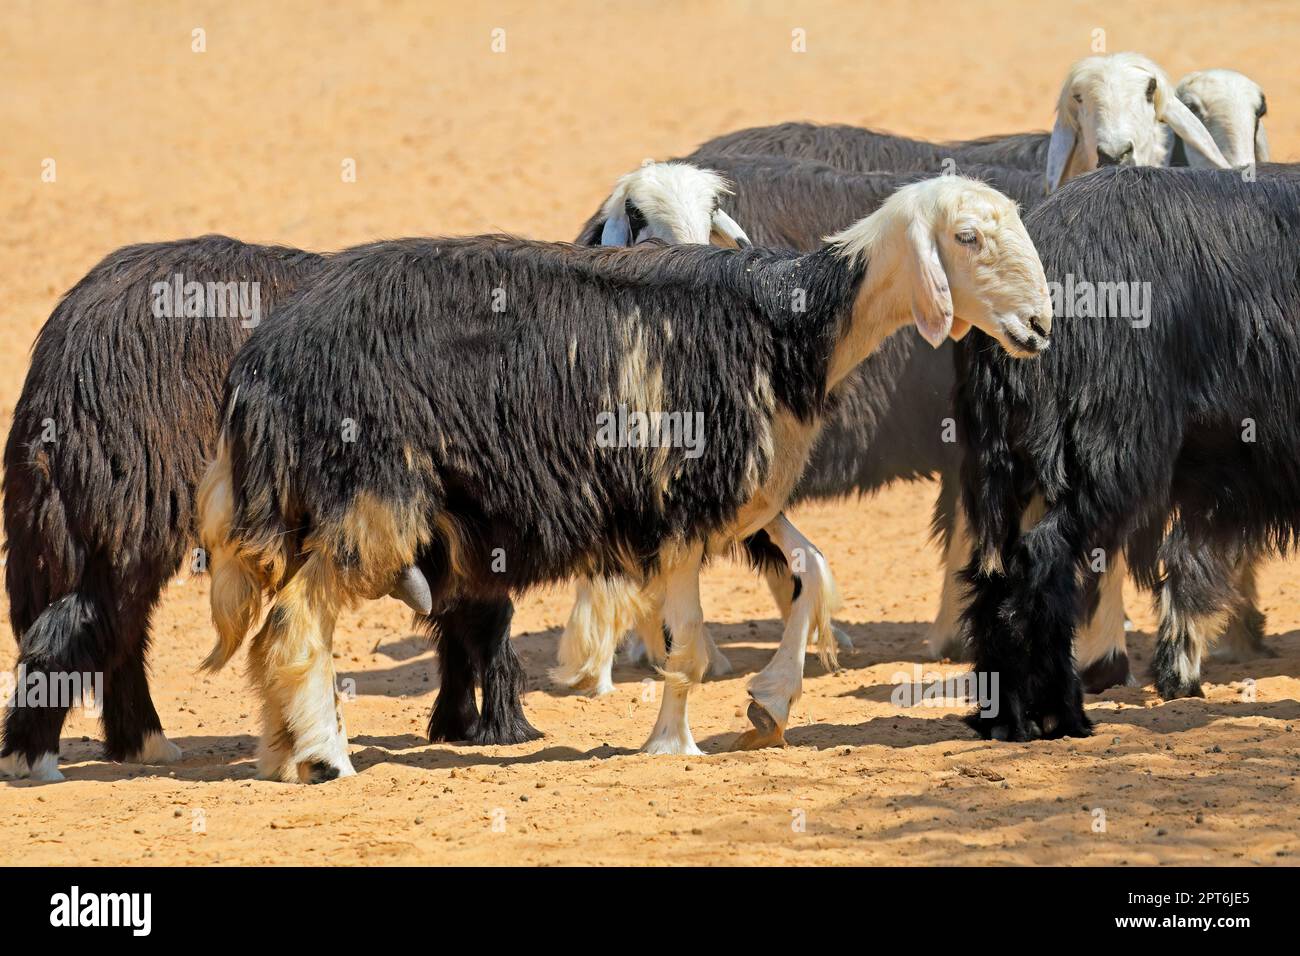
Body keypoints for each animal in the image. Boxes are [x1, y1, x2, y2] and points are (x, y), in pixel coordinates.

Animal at [0, 237, 323, 781]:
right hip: (135, 513)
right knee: (84, 621)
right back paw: (33, 758)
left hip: (69, 521)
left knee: (111, 627)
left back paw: (142, 743)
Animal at [956, 164, 1300, 742]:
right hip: (1112, 459)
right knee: (1044, 560)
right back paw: (1061, 715)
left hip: (1005, 465)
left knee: (993, 576)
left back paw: (1003, 719)